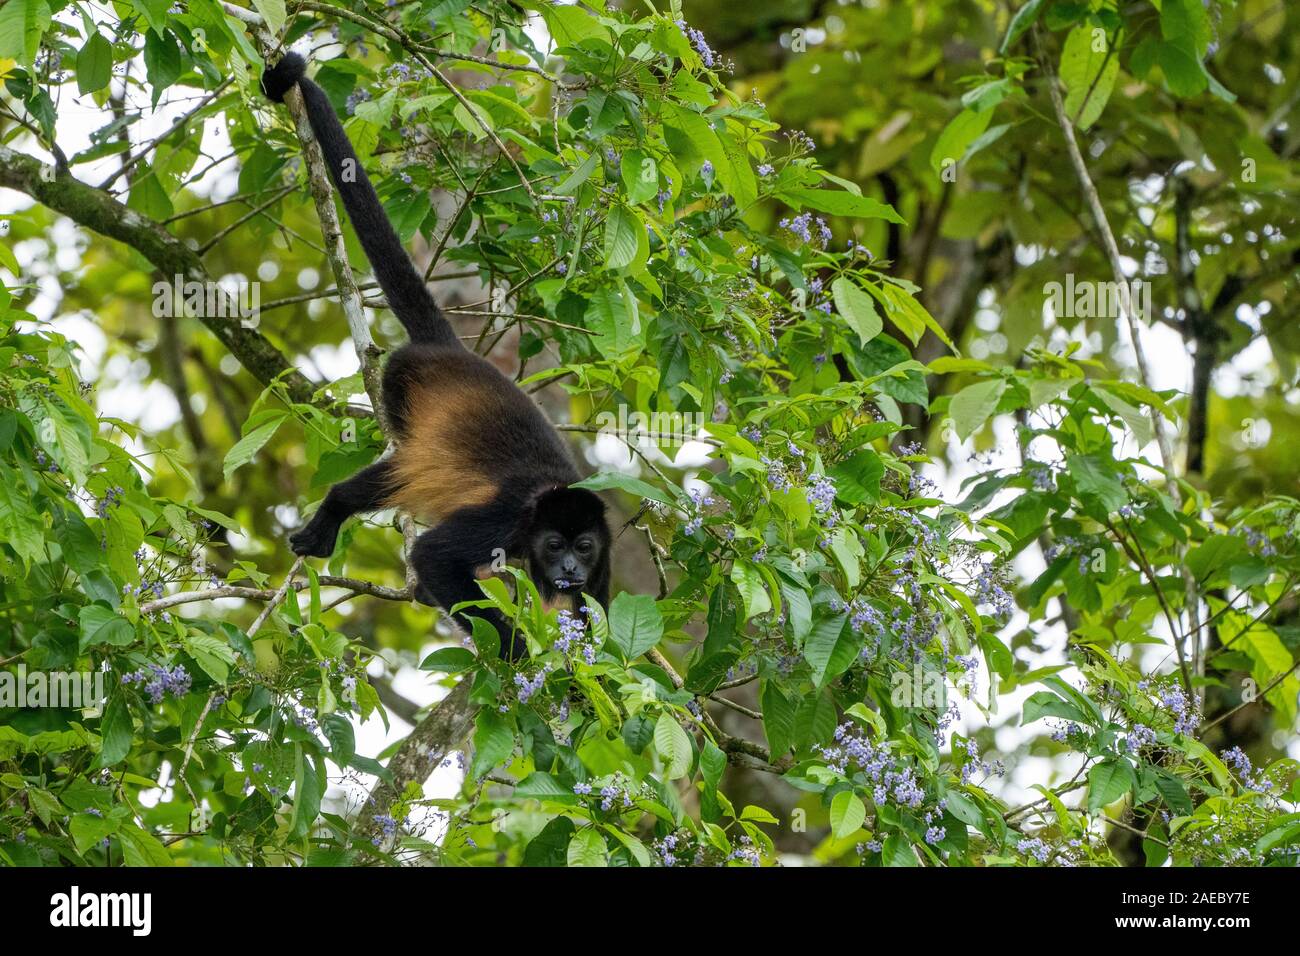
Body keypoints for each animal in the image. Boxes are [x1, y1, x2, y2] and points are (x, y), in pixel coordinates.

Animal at [261, 53, 610, 661]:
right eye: (553, 544)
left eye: (584, 546)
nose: (569, 568)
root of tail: (448, 348)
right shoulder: (505, 519)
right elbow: (435, 556)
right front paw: (518, 659)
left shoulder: (606, 563)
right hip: (401, 385)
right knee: (396, 472)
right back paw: (332, 516)